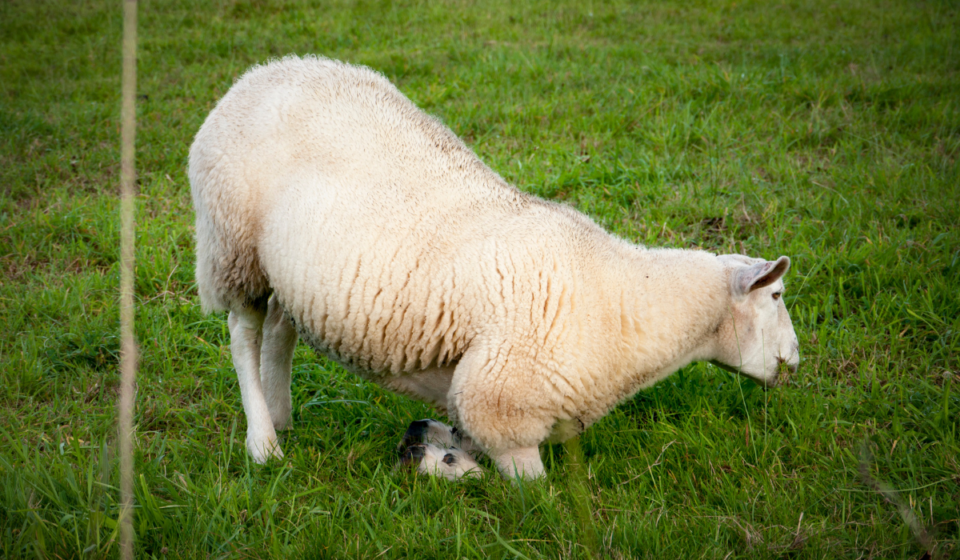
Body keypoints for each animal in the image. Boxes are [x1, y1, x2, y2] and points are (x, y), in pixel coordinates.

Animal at [189, 55, 800, 481]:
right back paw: (263, 444)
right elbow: (531, 489)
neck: (627, 302)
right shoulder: (501, 403)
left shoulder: (476, 393)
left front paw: (434, 449)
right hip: (231, 243)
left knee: (280, 330)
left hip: (285, 267)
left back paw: (282, 415)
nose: (795, 360)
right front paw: (449, 469)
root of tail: (260, 73)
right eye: (775, 297)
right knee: (243, 334)